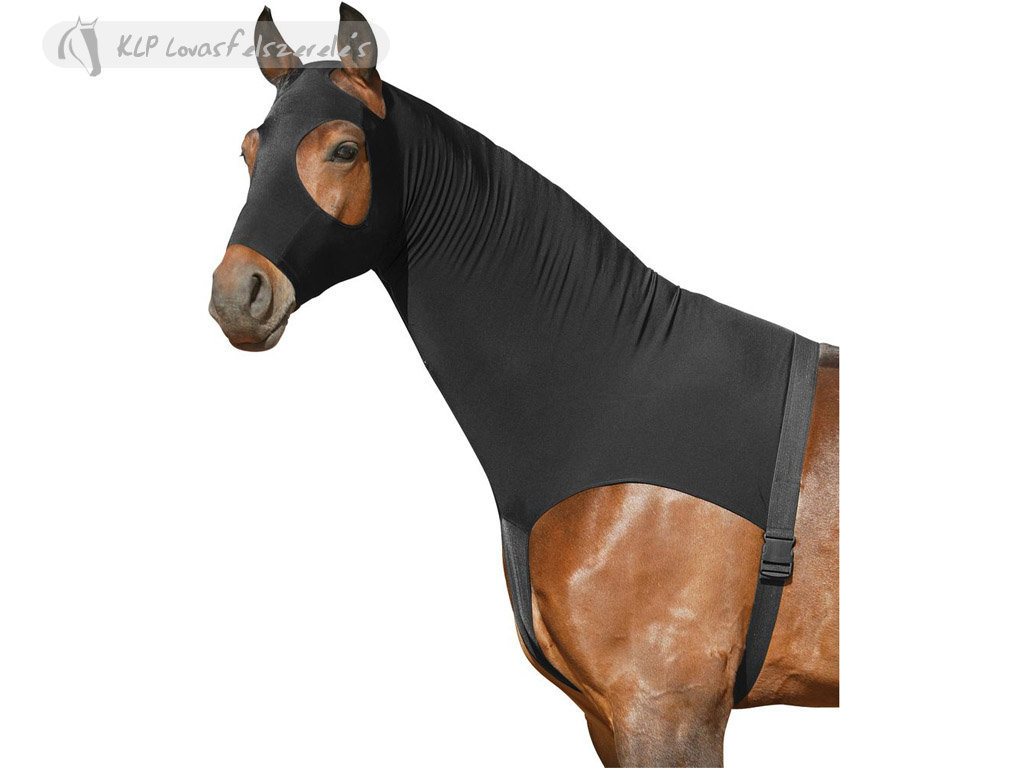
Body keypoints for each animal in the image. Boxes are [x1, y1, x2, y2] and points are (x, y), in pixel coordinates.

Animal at [209, 6, 838, 766]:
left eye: (345, 150)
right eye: (249, 152)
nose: (237, 295)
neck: (609, 390)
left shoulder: (669, 709)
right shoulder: (612, 718)